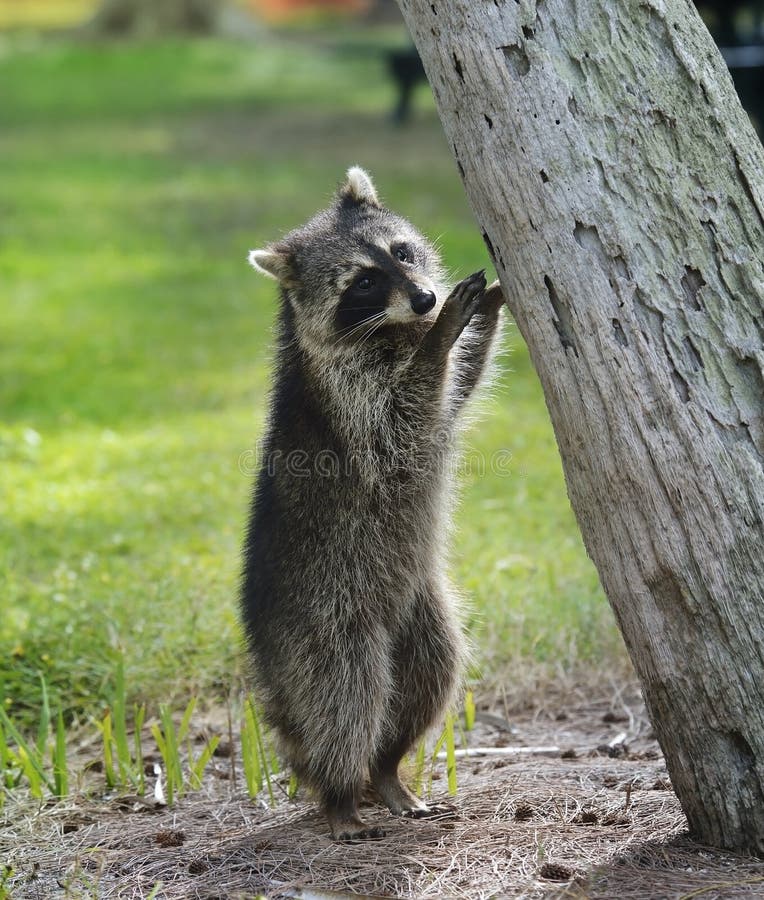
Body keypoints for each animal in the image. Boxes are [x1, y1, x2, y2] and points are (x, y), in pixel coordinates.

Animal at [241, 167, 503, 840]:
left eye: (402, 253)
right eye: (363, 281)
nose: (426, 300)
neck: (391, 329)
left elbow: (455, 393)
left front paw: (487, 307)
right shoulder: (349, 394)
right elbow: (402, 423)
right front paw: (442, 338)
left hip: (421, 616)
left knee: (428, 678)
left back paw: (386, 768)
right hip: (324, 619)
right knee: (345, 697)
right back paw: (340, 792)